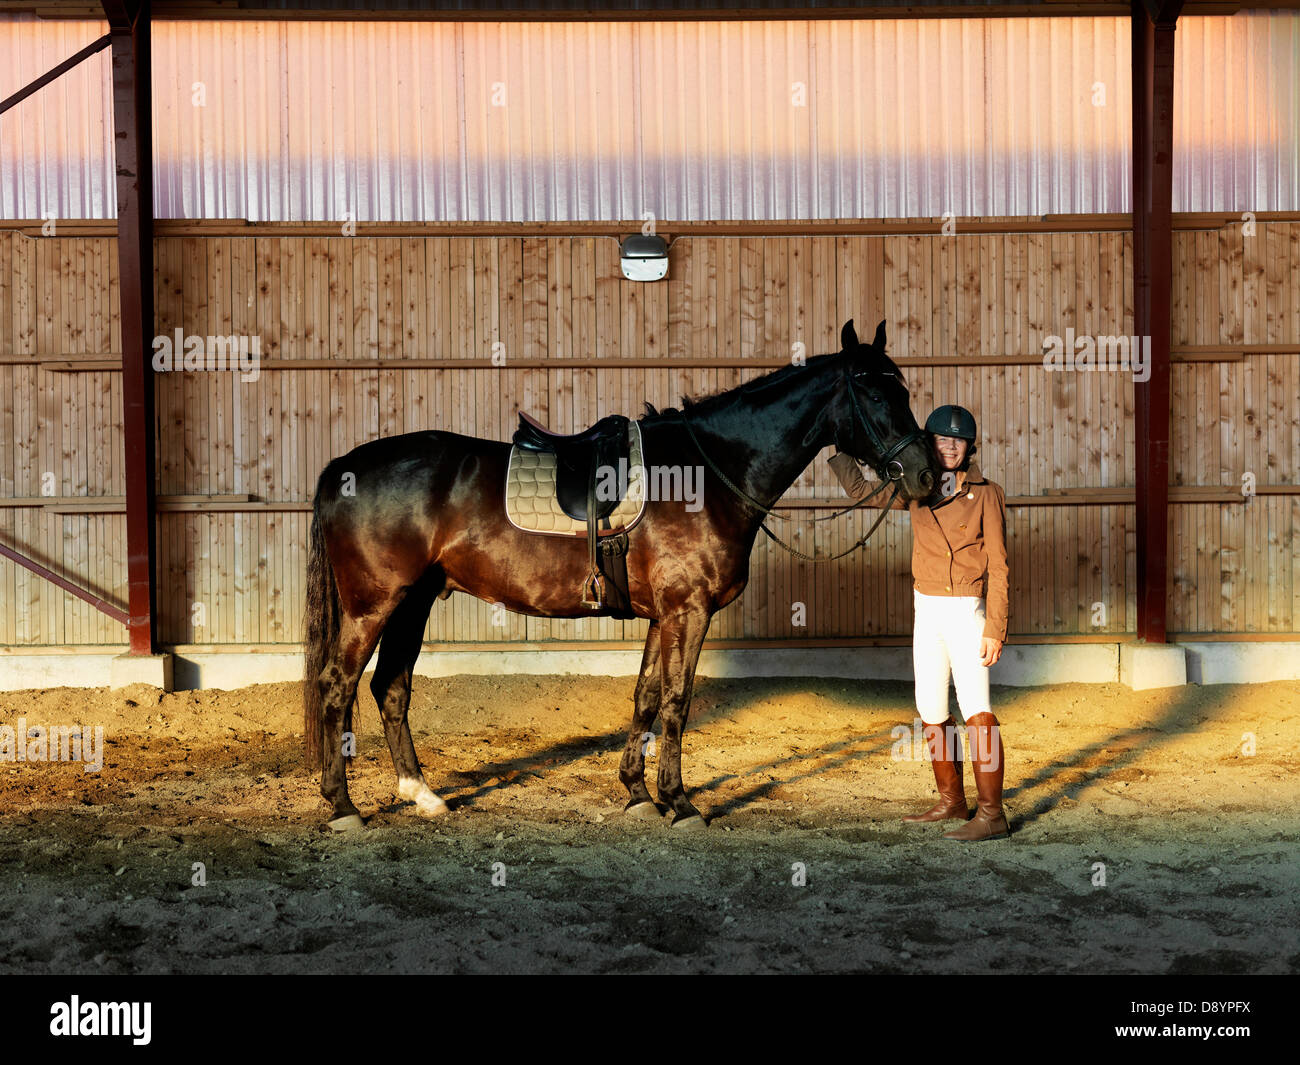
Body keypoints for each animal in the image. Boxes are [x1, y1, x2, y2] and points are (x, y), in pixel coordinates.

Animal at [302, 319, 936, 830]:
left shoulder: (664, 615)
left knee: (391, 687)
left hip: (414, 601)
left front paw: (638, 793)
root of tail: (343, 468)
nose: (926, 475)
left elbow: (646, 696)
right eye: (873, 391)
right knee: (338, 685)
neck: (708, 473)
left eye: (903, 388)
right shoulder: (689, 611)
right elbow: (678, 700)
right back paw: (343, 806)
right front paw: (679, 802)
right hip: (374, 604)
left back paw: (423, 795)